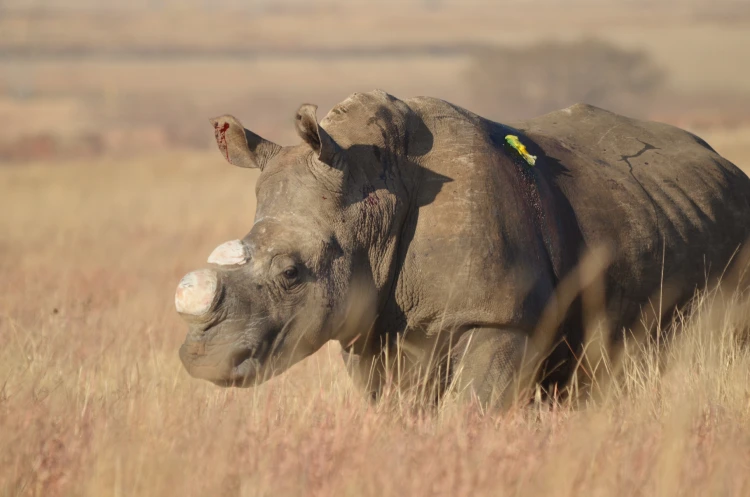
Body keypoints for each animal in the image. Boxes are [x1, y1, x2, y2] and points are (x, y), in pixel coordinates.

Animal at [175, 90, 750, 407]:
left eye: (291, 274)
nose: (203, 359)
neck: (373, 200)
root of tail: (727, 167)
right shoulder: (370, 324)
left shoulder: (501, 318)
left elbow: (471, 408)